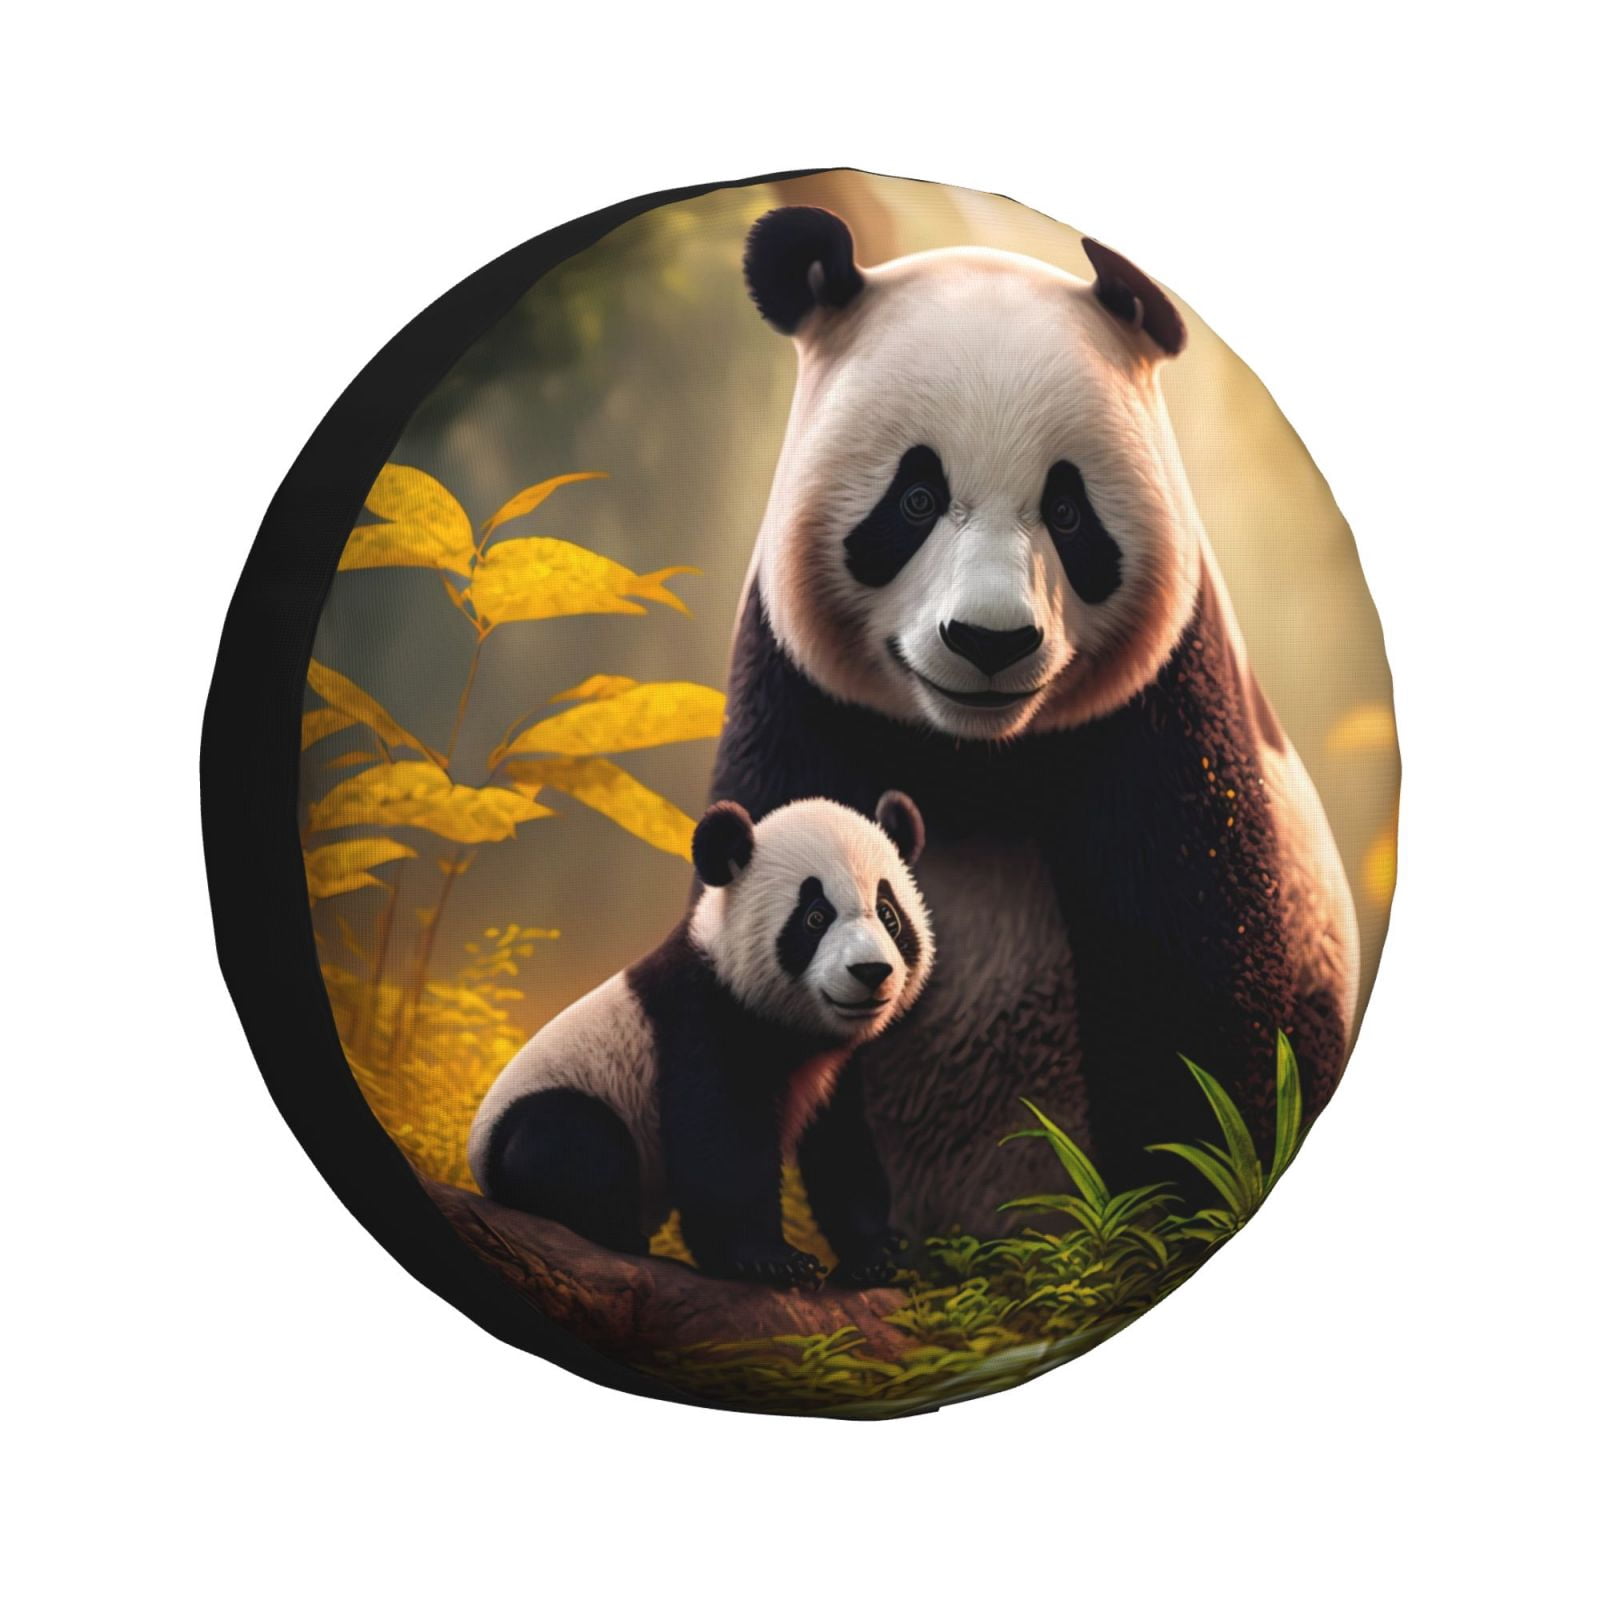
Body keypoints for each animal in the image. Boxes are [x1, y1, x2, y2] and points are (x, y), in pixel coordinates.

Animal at [468, 792, 934, 1288]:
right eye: (815, 918)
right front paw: (770, 1260)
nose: (871, 971)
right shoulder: (701, 1016)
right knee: (568, 1141)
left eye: (889, 916)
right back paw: (620, 1233)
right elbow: (720, 1143)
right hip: (534, 1117)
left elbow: (841, 1143)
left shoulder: (833, 1061)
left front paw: (876, 1255)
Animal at [710, 206, 1360, 1236]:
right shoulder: (795, 692)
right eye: (916, 498)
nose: (989, 641)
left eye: (1069, 509)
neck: (973, 758)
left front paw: (1165, 1215)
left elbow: (1187, 978)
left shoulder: (1161, 703)